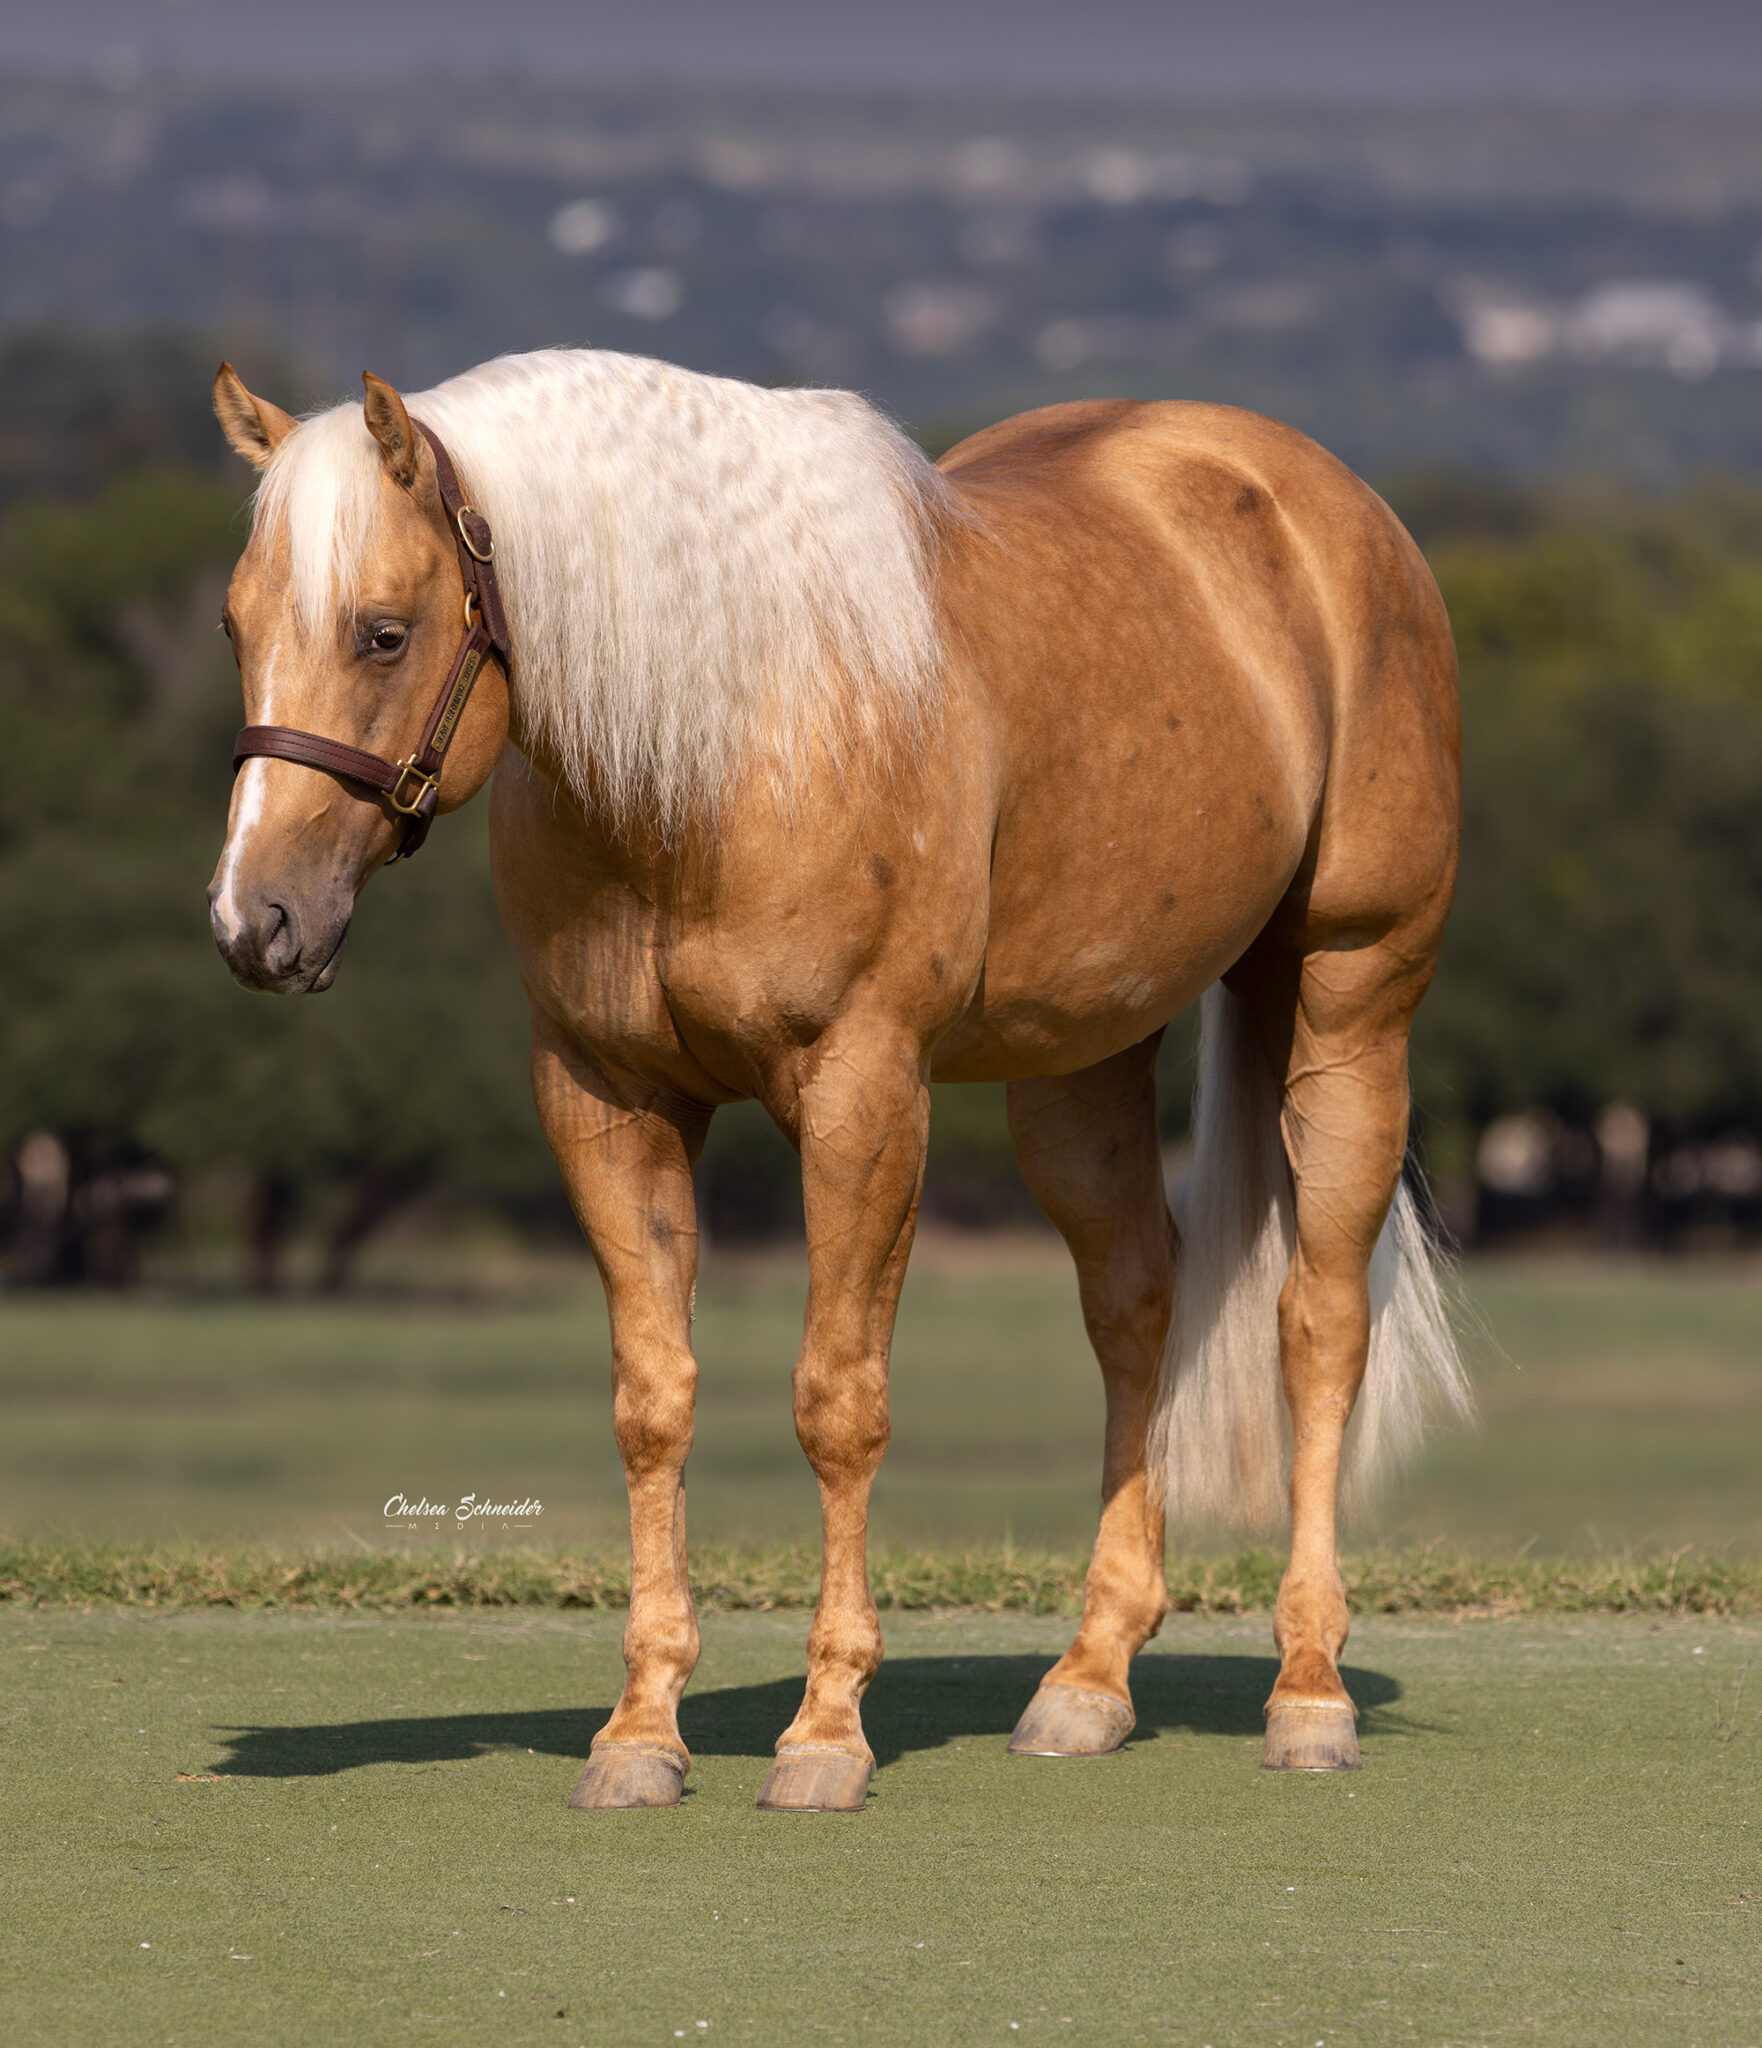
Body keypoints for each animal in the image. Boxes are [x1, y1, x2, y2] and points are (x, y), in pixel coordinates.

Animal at [208, 347, 1470, 1812]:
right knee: (1133, 1305)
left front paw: (824, 1731)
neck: (717, 741)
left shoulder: (865, 1095)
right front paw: (640, 1732)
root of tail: (1316, 499)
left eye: (383, 632)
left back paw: (1307, 1691)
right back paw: (1088, 1680)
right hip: (1082, 1059)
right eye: (237, 625)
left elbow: (836, 1404)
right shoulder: (604, 1100)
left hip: (1352, 1000)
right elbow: (655, 1402)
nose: (255, 922)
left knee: (1316, 1321)